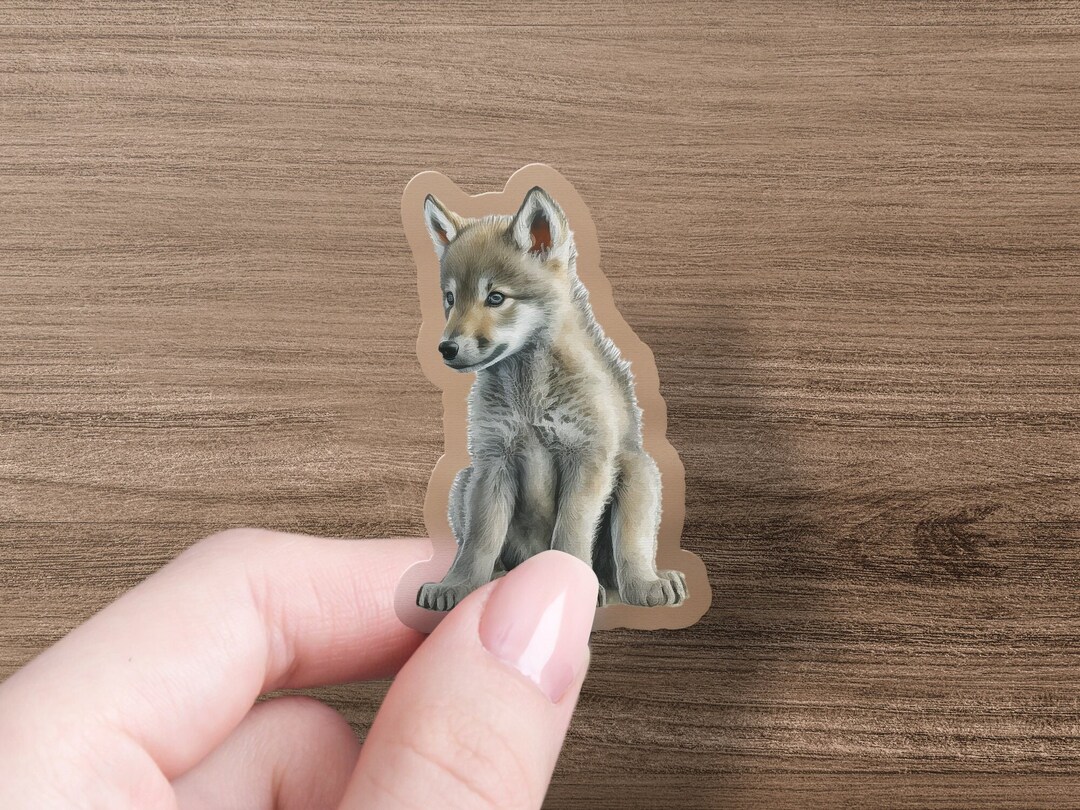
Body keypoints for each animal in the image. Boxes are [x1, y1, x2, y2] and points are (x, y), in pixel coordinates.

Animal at [416, 186, 687, 611]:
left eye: (496, 298)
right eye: (449, 298)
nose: (446, 348)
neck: (529, 395)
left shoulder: (587, 459)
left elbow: (570, 535)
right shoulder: (493, 462)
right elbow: (478, 540)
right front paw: (457, 586)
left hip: (639, 471)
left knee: (629, 553)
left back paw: (650, 584)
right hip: (463, 481)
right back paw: (498, 578)